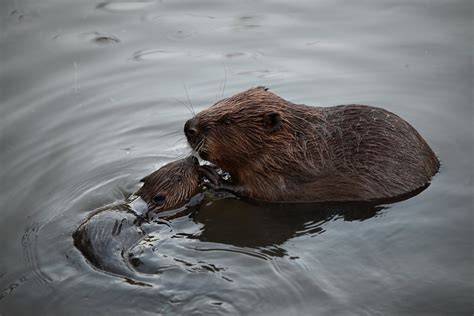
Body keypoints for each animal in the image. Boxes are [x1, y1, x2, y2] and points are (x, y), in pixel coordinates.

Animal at [183, 86, 438, 202]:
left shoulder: (283, 170)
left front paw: (213, 176)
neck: (295, 143)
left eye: (227, 120)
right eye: (217, 102)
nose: (188, 127)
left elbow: (263, 192)